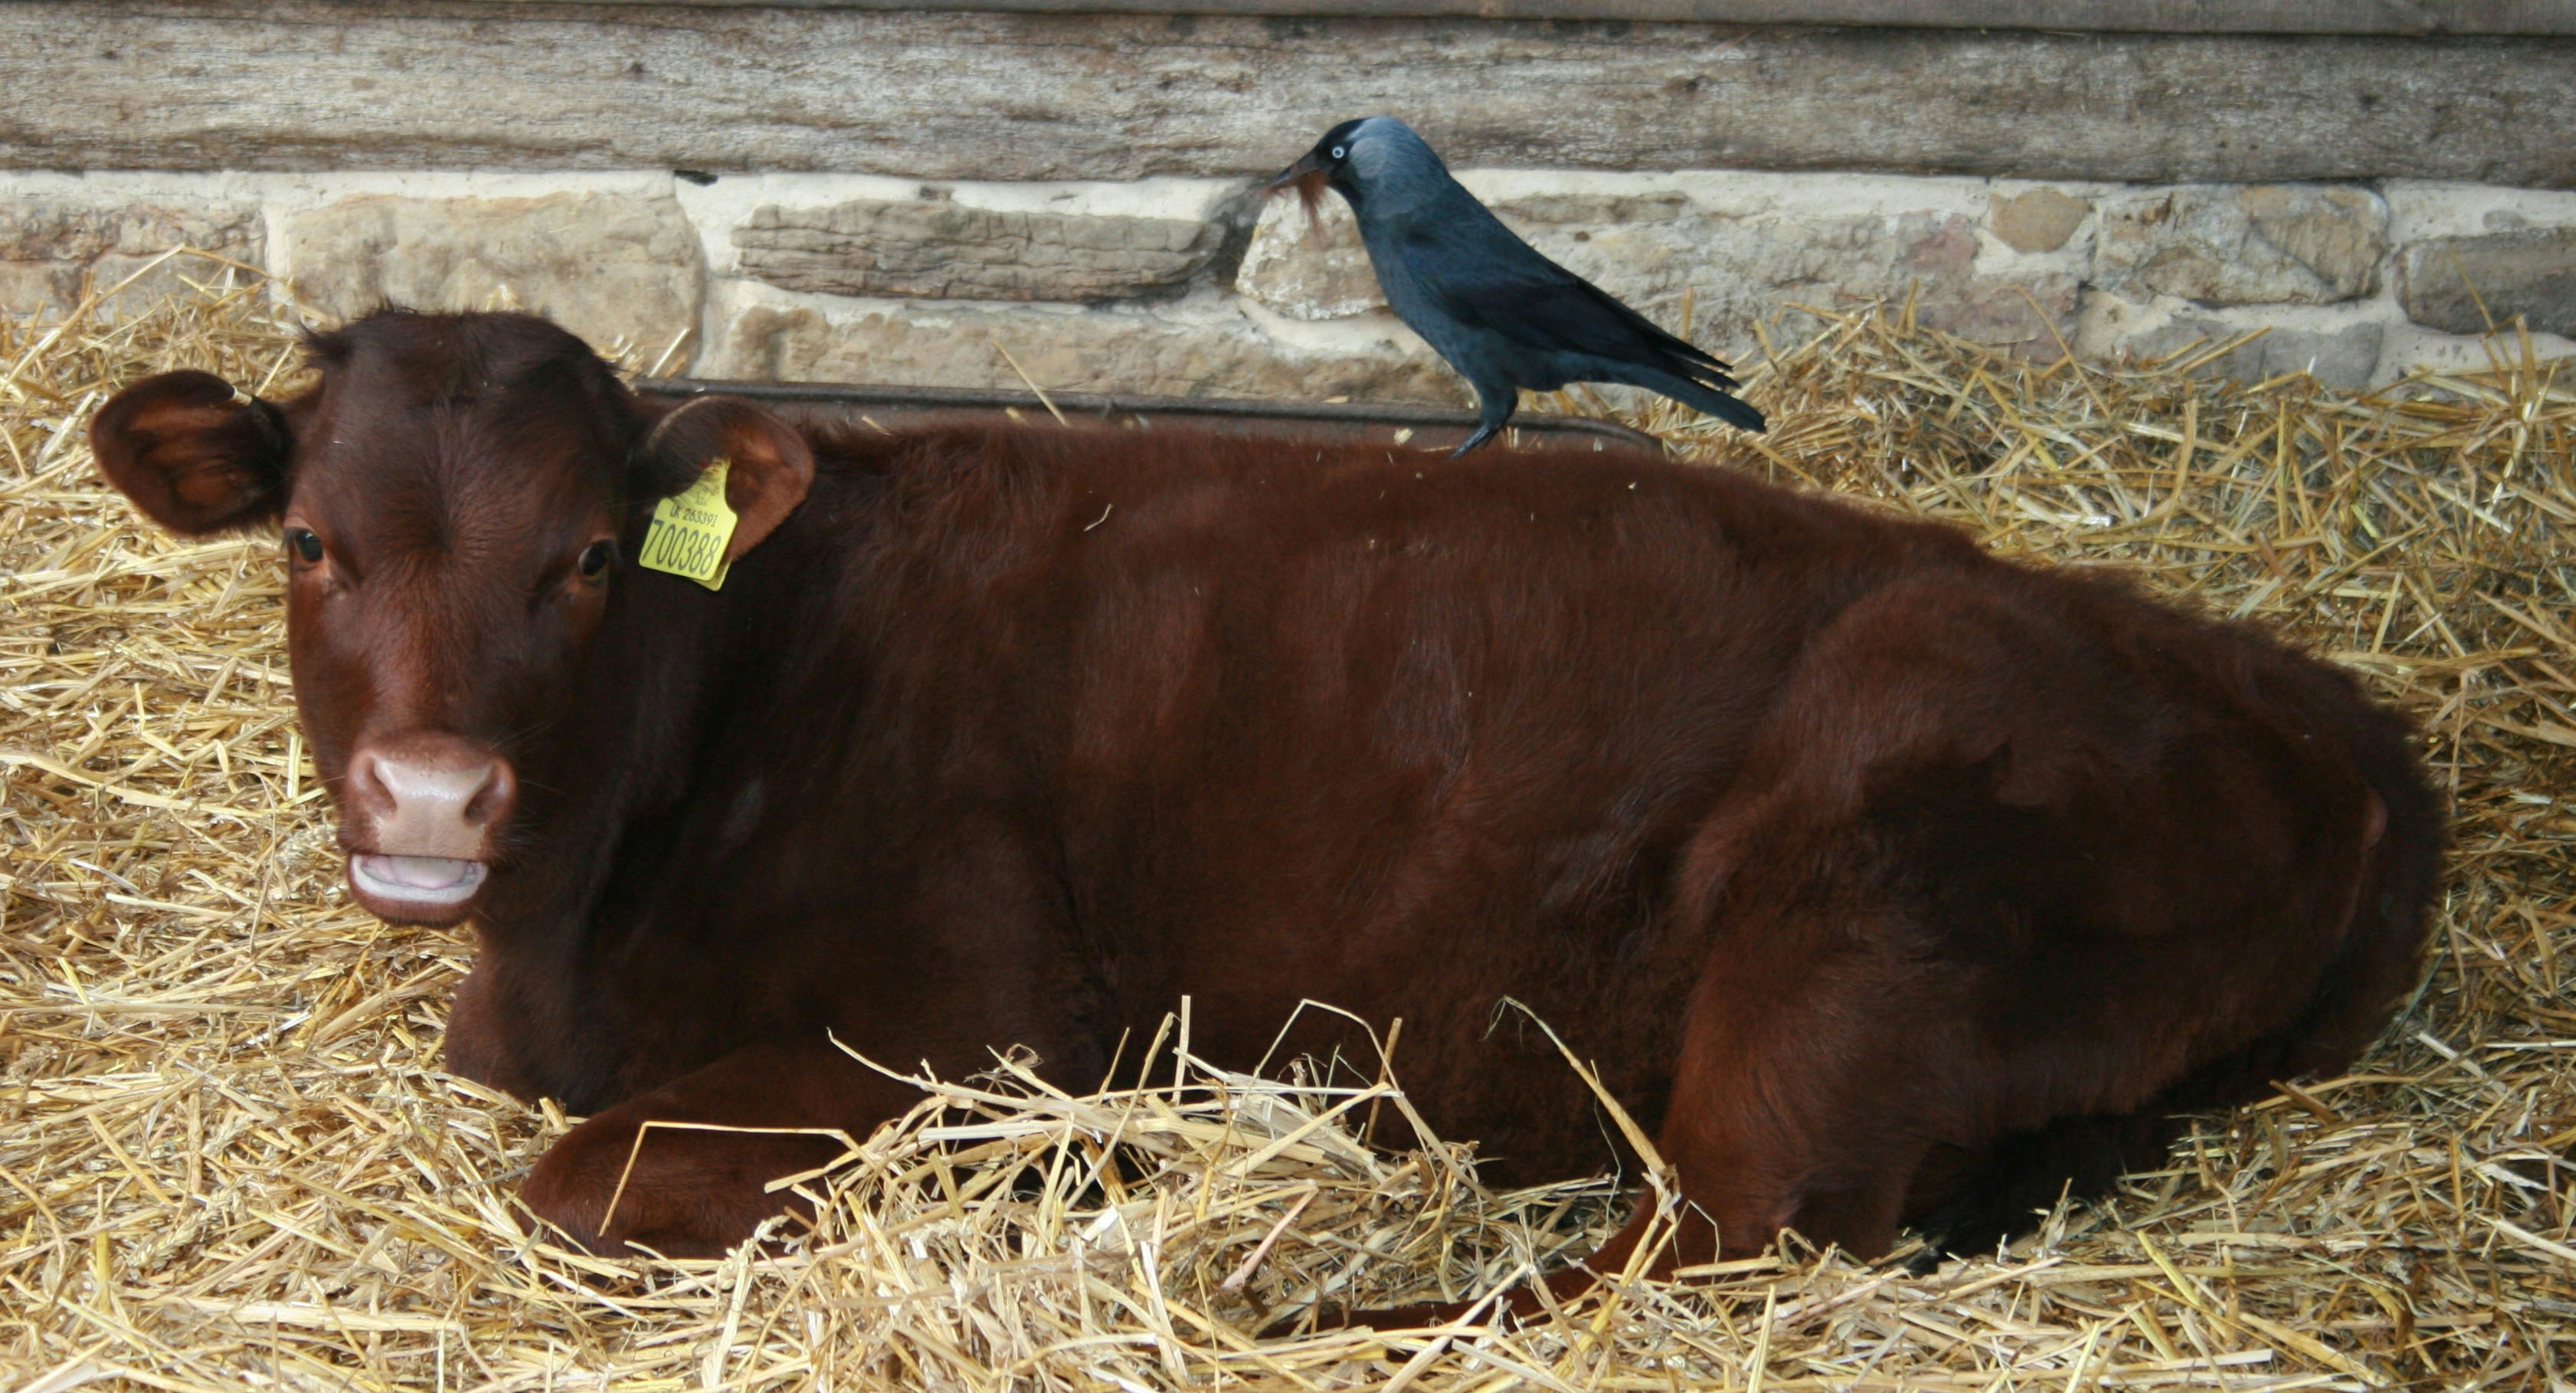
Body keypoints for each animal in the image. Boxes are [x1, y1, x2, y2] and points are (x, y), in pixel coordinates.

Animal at [90, 309, 2439, 1319]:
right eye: (306, 540)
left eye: (589, 553)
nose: (430, 788)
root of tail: (2300, 688)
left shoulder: (964, 1015)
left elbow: (570, 1183)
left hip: (1868, 915)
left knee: (1694, 1251)